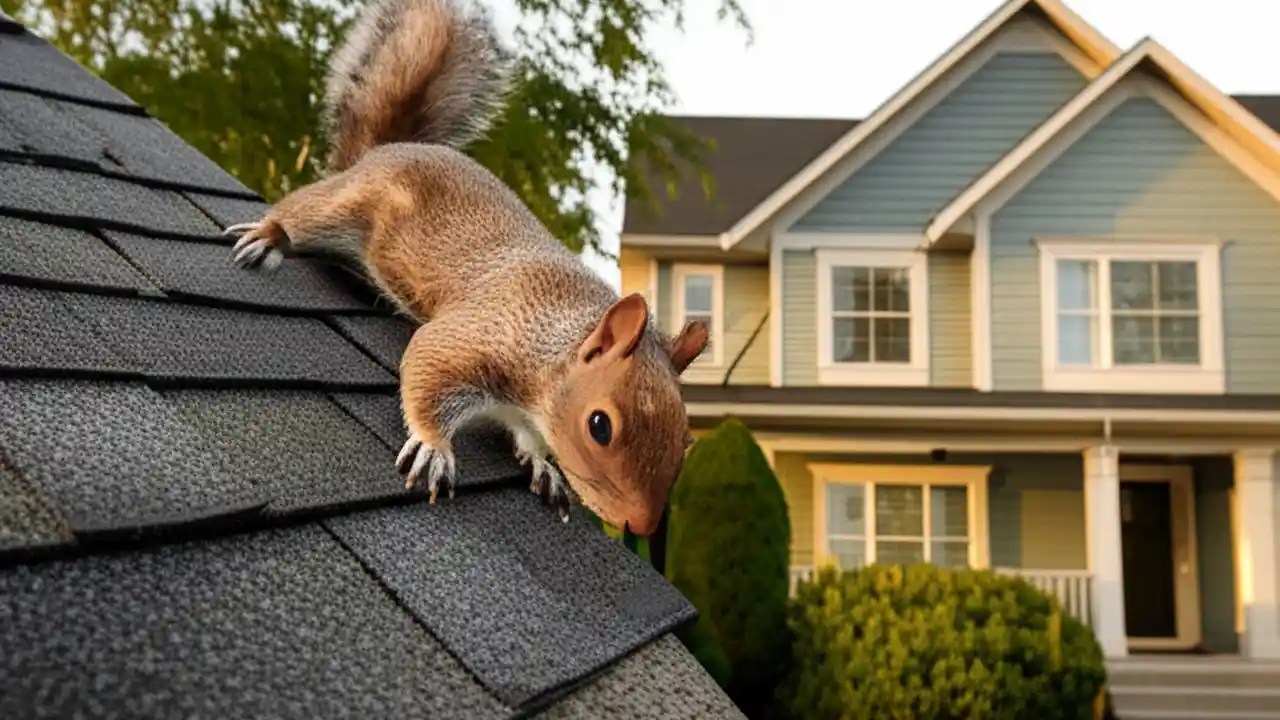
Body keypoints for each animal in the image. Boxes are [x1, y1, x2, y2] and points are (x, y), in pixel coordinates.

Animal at [222, 0, 708, 536]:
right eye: (599, 425)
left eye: (686, 440)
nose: (638, 525)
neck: (554, 340)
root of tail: (385, 149)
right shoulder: (483, 333)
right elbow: (428, 363)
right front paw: (434, 448)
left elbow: (528, 438)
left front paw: (542, 464)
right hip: (346, 205)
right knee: (301, 213)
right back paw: (267, 237)